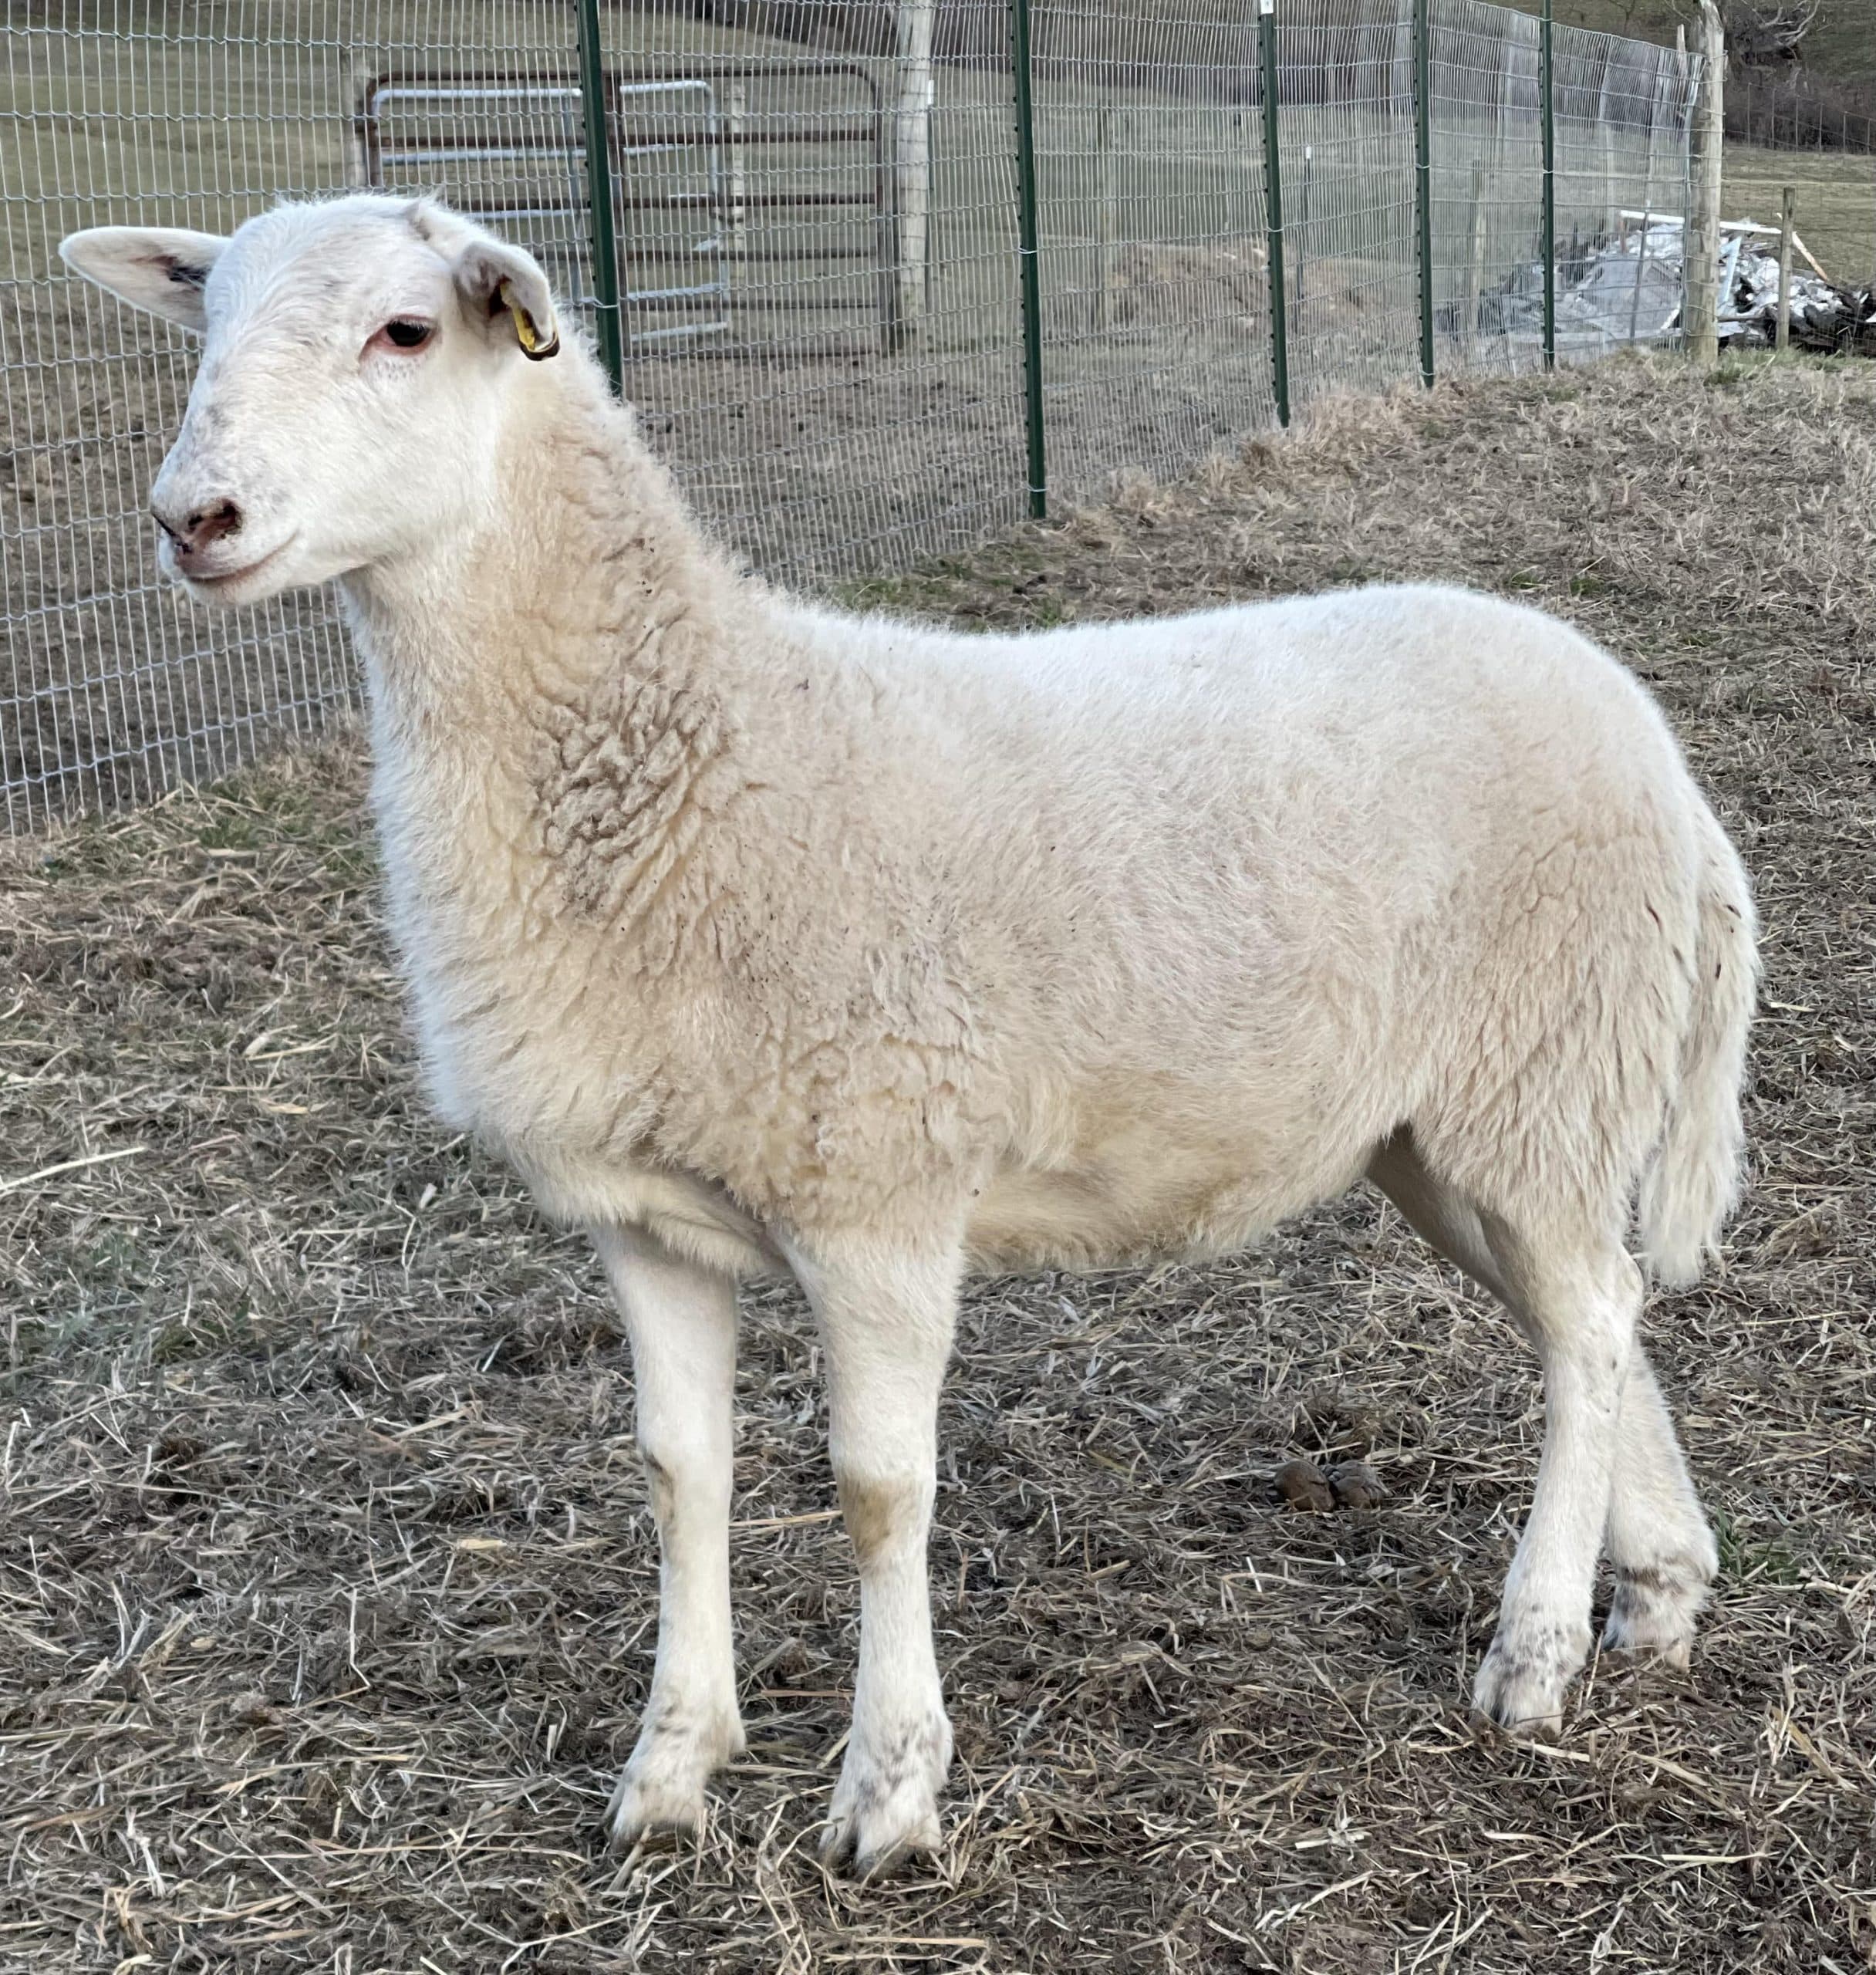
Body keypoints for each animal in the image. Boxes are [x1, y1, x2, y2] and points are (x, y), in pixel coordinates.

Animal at [61, 194, 1756, 1880]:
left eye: (407, 331)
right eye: (207, 322)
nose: (191, 517)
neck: (698, 747)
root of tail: (1664, 763)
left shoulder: (878, 1193)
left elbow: (878, 1495)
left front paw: (888, 1790)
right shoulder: (646, 1218)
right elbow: (676, 1476)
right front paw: (672, 1763)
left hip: (1540, 1070)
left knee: (1586, 1325)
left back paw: (1533, 1649)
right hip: (1452, 1125)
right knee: (1594, 1311)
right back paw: (1657, 1584)